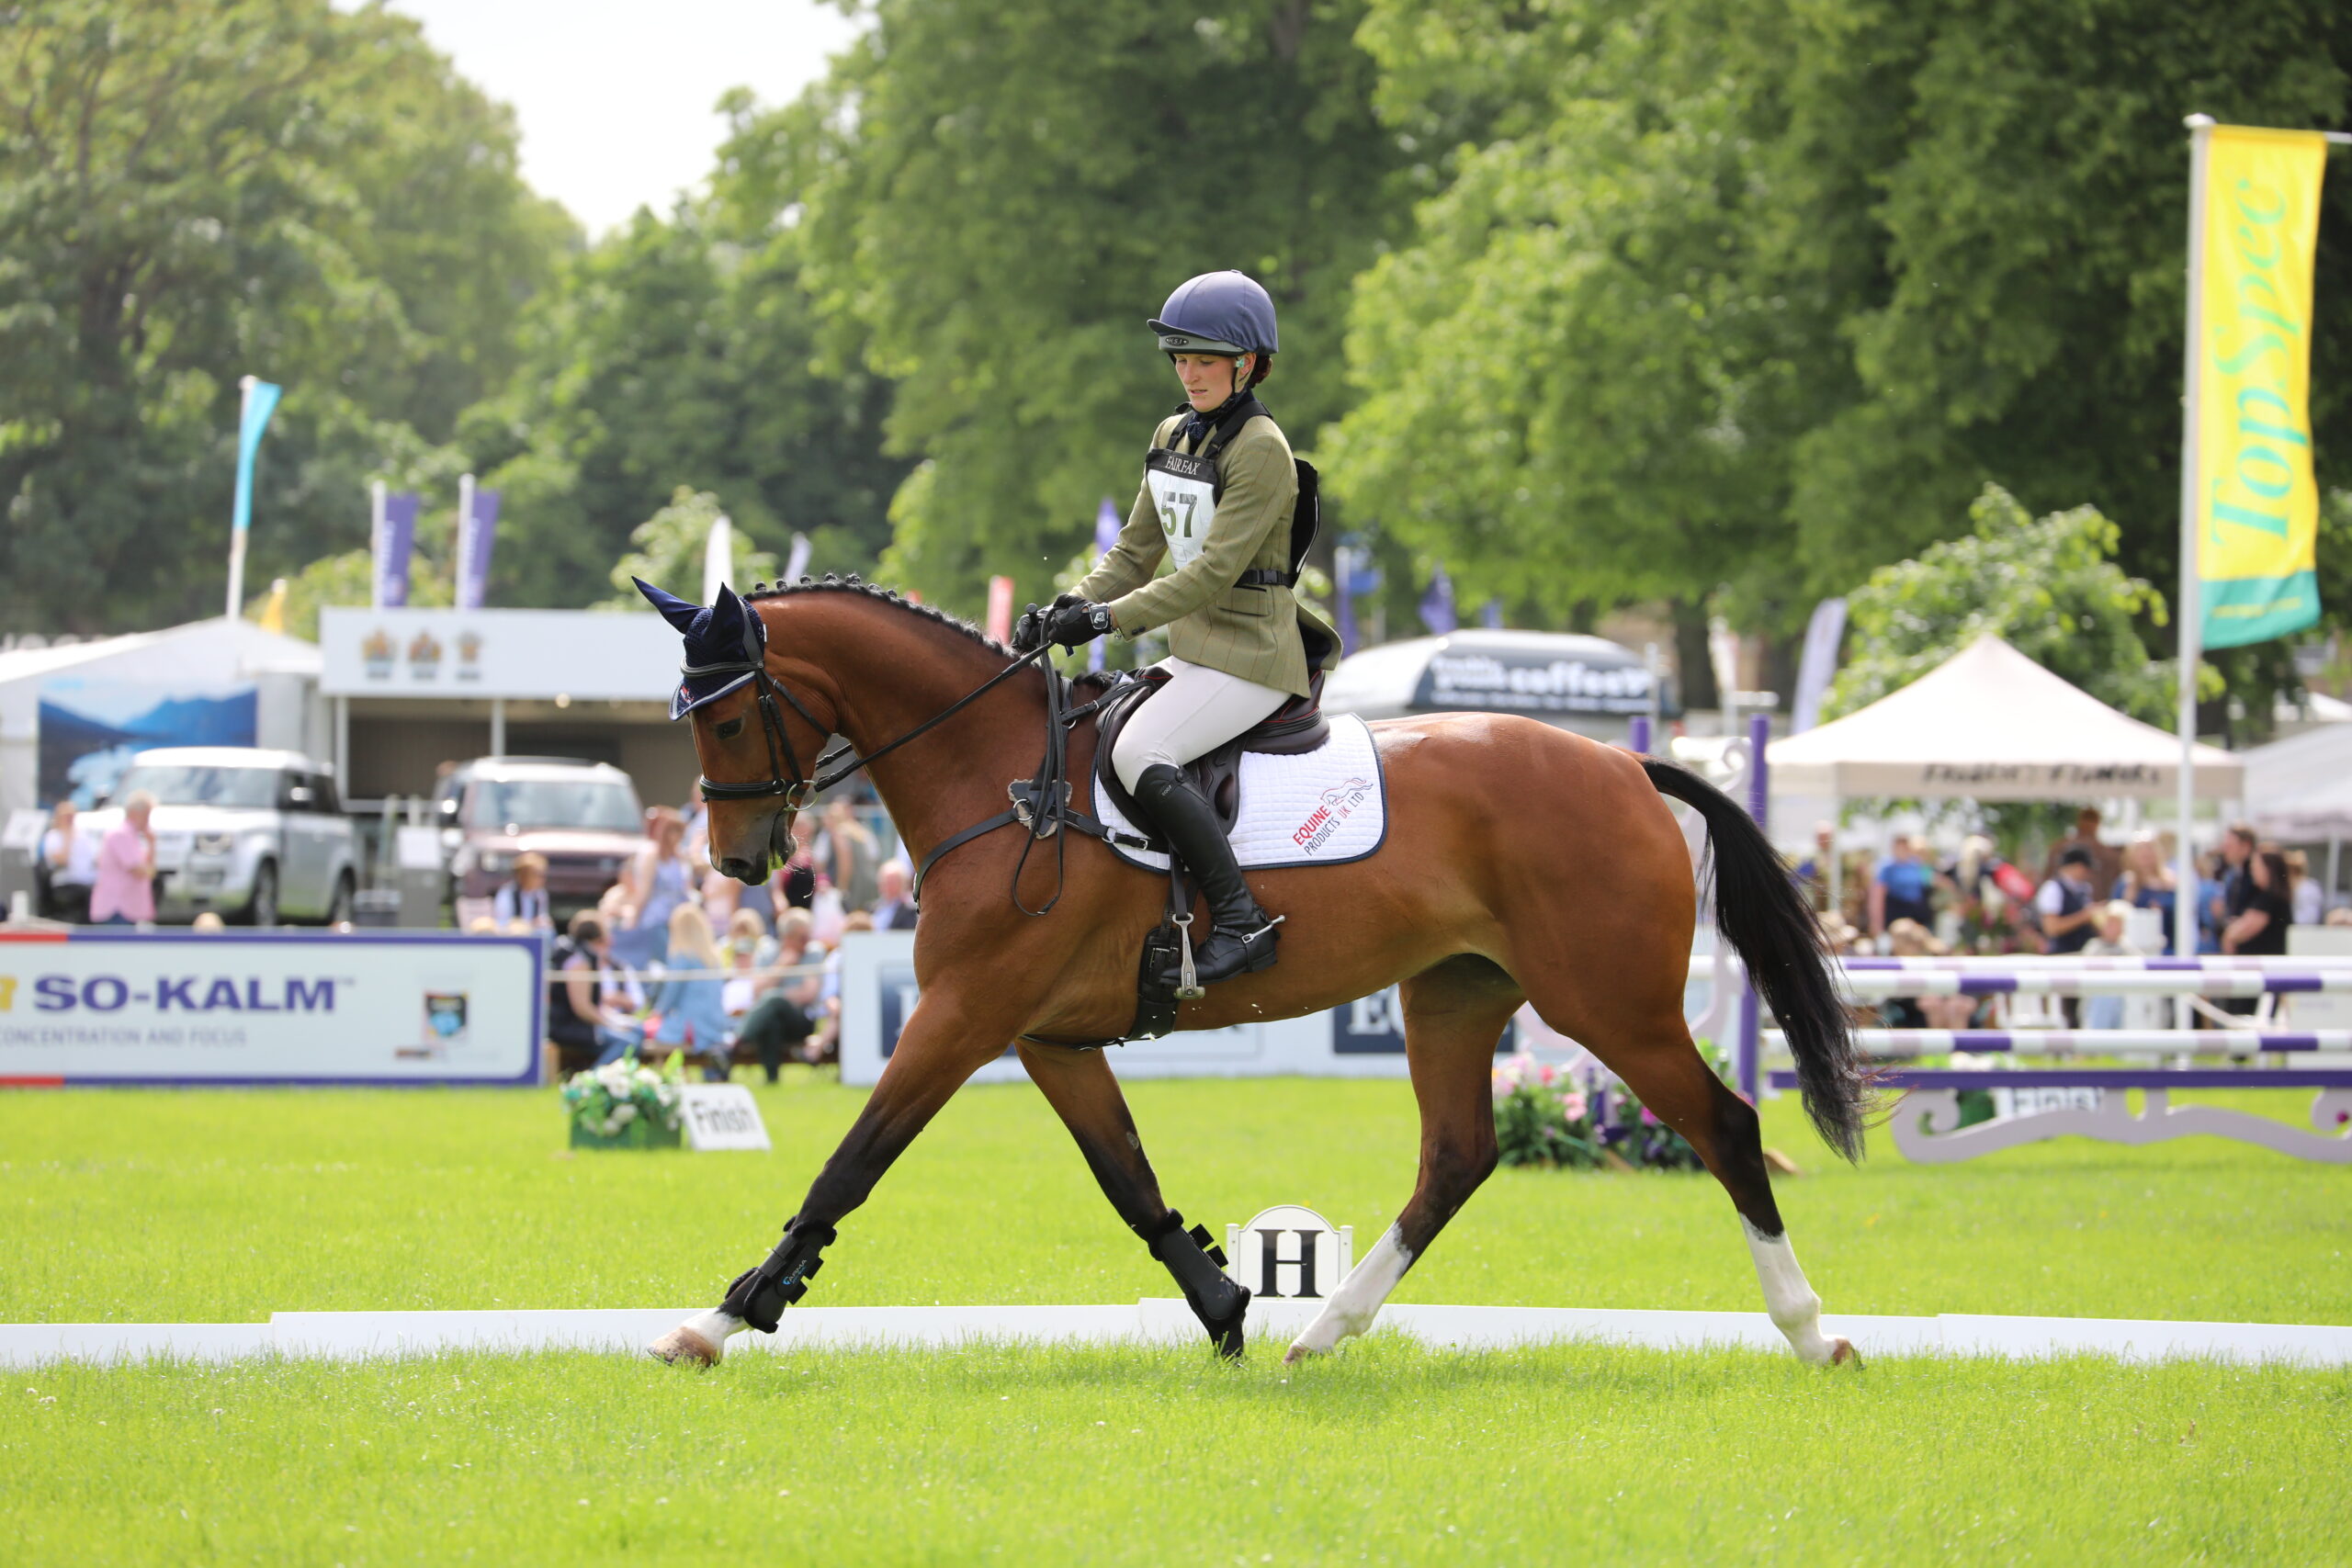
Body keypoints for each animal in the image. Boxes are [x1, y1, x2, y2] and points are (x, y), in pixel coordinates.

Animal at [639, 578, 1871, 1368]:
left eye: (733, 720)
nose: (739, 862)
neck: (1002, 778)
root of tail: (1622, 762)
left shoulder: (963, 1015)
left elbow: (848, 1168)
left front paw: (726, 1318)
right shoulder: (1048, 1037)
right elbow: (1129, 1183)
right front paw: (1228, 1307)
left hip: (1609, 1002)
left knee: (1723, 1126)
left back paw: (1811, 1331)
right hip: (1456, 993)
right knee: (1457, 1157)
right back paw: (1321, 1335)